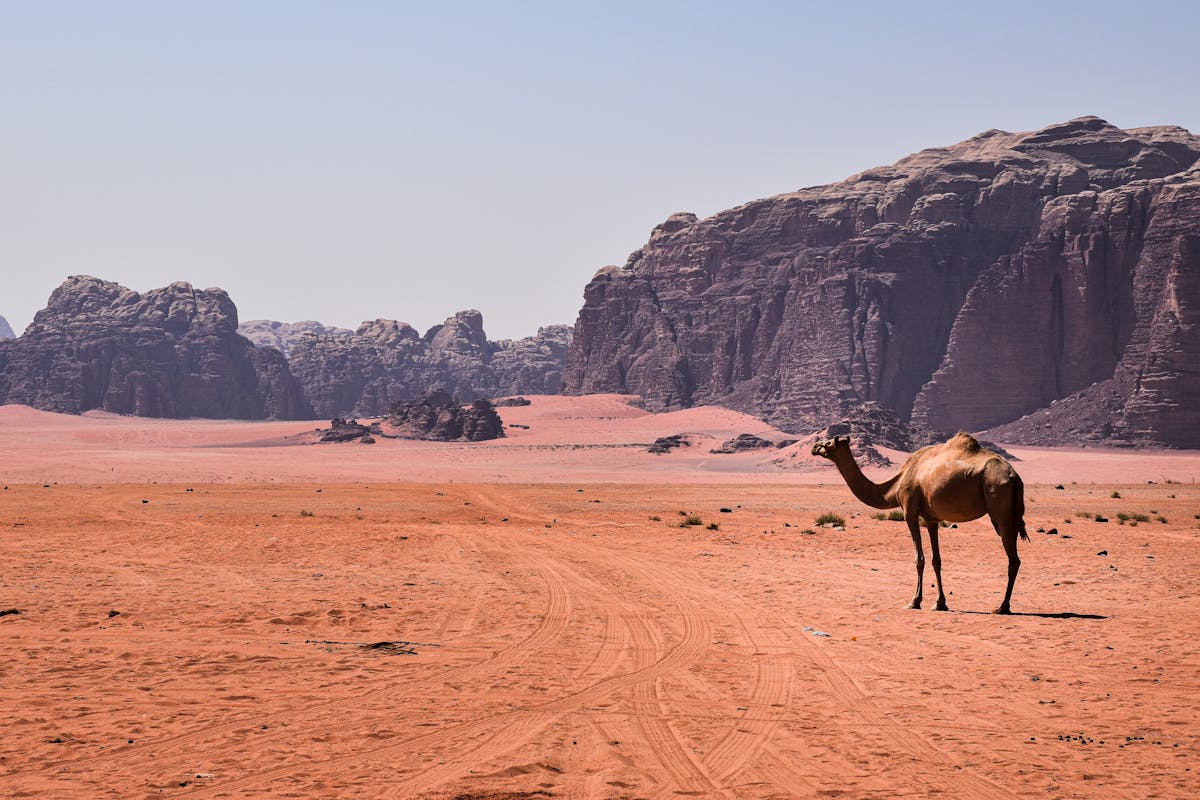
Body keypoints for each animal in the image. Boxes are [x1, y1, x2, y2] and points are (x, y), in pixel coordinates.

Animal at [811, 432, 1028, 614]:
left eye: (828, 443)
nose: (814, 447)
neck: (896, 484)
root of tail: (1013, 476)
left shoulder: (910, 512)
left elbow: (919, 559)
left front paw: (914, 601)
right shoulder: (931, 519)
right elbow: (936, 560)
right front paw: (940, 603)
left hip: (999, 504)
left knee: (1013, 559)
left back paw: (1002, 607)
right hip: (1010, 513)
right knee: (1014, 557)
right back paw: (1003, 605)